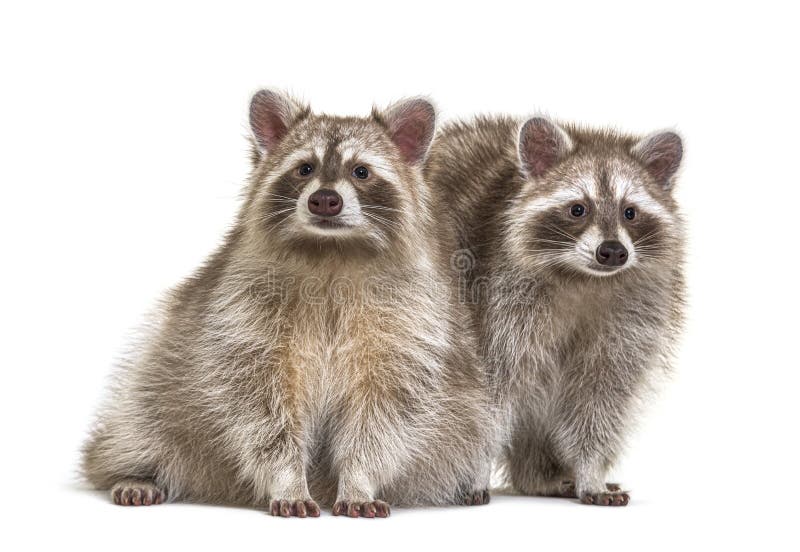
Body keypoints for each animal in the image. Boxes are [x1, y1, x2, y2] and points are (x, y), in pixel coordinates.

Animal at [81, 90, 493, 518]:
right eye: (304, 168)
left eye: (361, 172)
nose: (324, 200)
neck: (331, 253)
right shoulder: (241, 313)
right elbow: (260, 411)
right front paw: (288, 480)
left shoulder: (411, 324)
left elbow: (383, 417)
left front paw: (358, 480)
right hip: (156, 378)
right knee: (139, 420)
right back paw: (136, 473)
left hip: (468, 415)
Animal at [425, 115, 685, 506]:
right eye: (578, 209)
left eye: (630, 212)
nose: (613, 251)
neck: (585, 279)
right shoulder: (492, 302)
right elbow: (488, 394)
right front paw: (472, 471)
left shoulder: (634, 313)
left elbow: (600, 397)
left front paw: (590, 472)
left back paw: (542, 477)